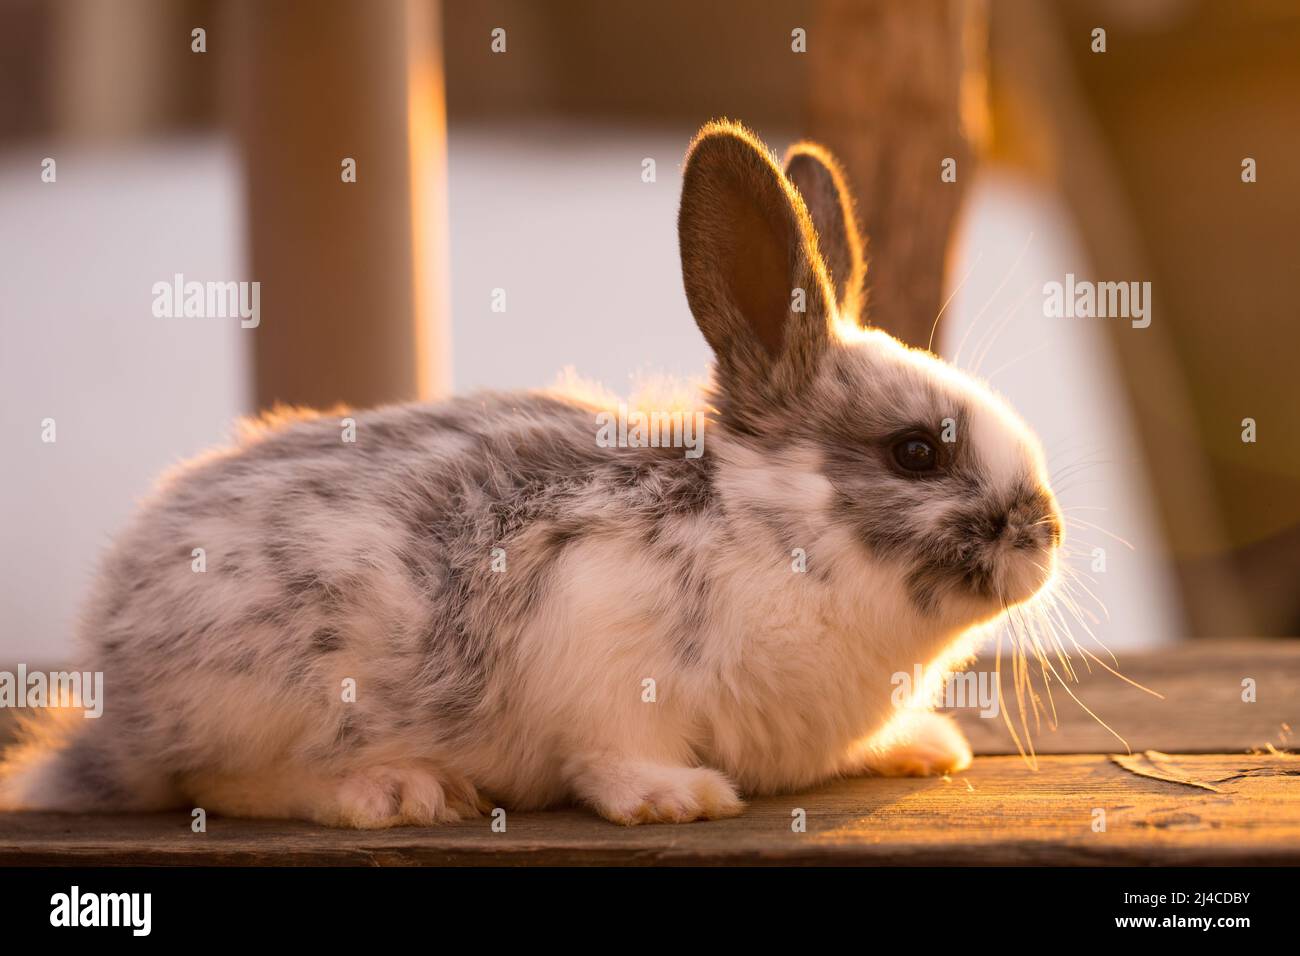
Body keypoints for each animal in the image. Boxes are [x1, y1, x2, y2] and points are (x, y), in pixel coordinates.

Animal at [0, 121, 1062, 827]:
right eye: (916, 452)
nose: (1044, 532)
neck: (770, 538)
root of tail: (115, 675)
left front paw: (923, 746)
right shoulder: (602, 665)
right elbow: (611, 759)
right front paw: (679, 799)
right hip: (260, 703)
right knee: (217, 783)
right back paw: (397, 791)